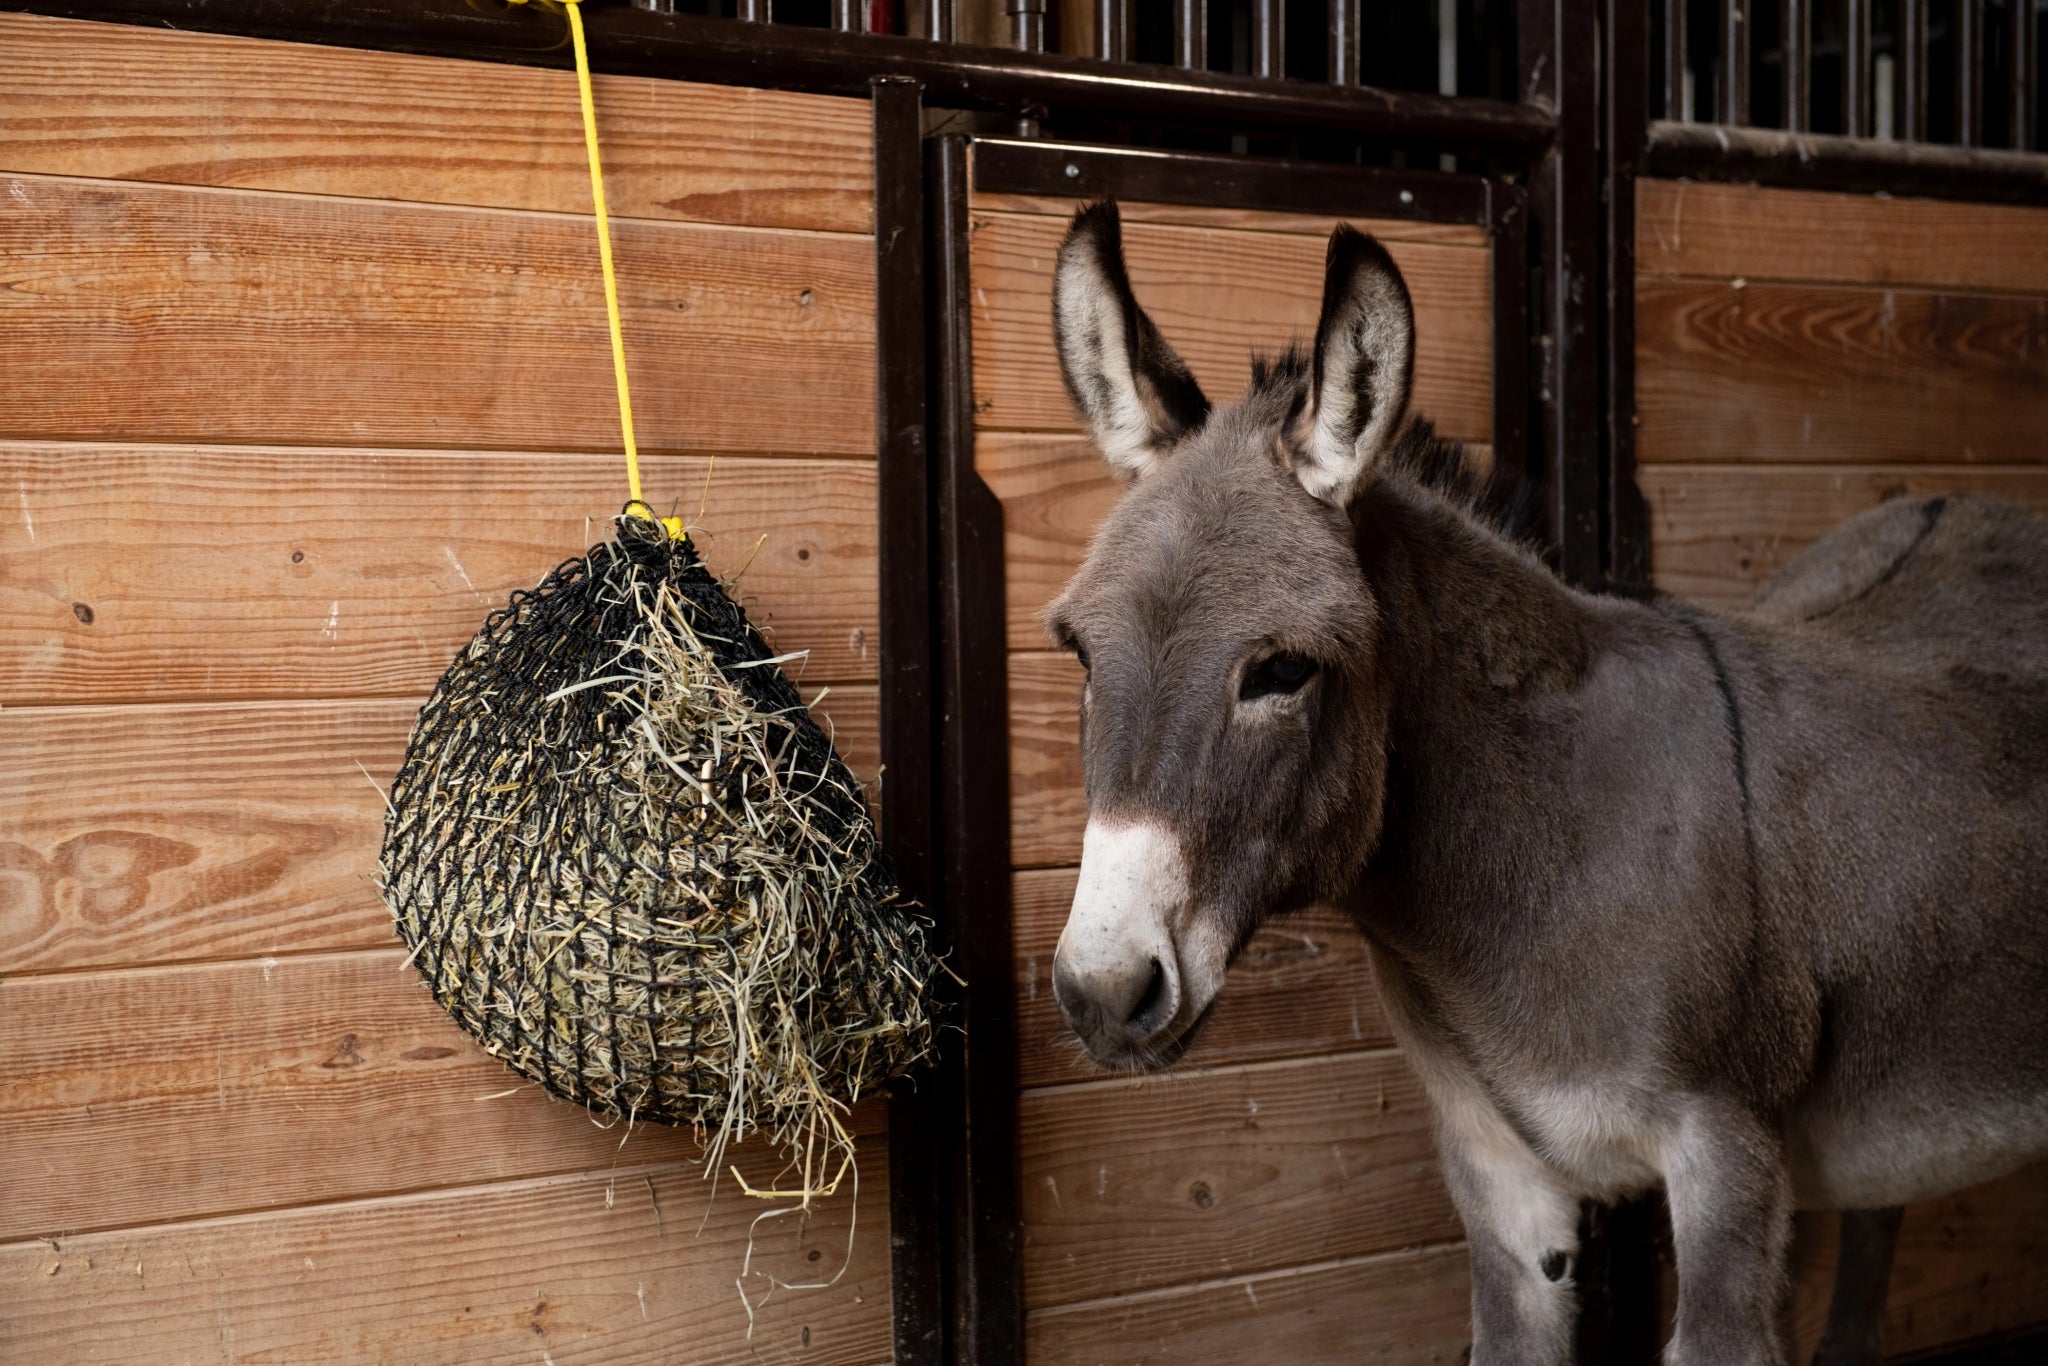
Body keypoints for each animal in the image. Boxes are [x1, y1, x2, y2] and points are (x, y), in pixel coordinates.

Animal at [1042, 200, 2048, 1366]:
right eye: (1077, 650)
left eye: (1281, 671)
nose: (1103, 991)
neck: (1545, 841)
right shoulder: (1497, 1171)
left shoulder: (1727, 1150)